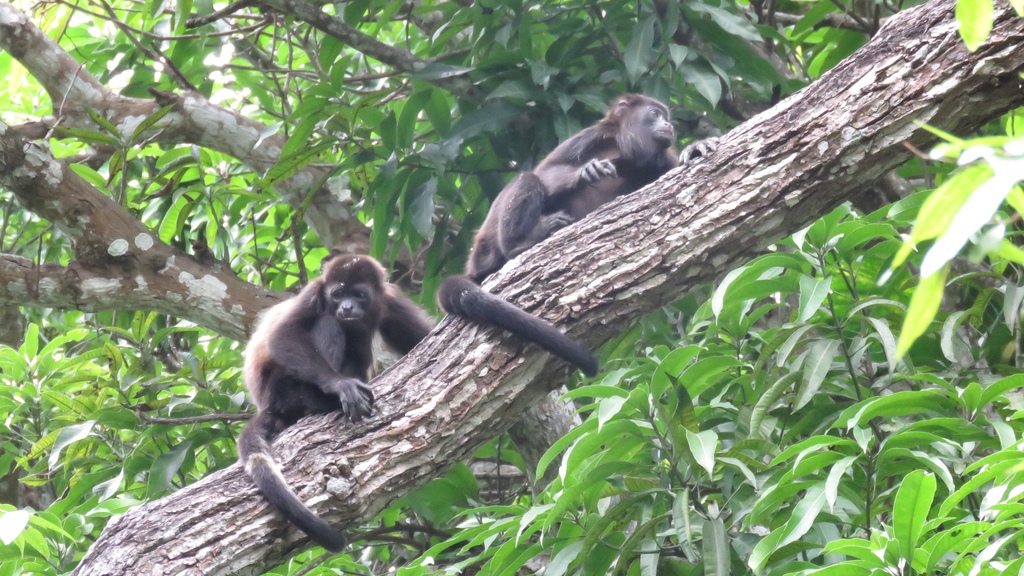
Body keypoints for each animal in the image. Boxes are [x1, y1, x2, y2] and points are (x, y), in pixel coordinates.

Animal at [238, 254, 434, 551]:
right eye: (338, 294)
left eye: (359, 294)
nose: (346, 306)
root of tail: (268, 405)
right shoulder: (314, 292)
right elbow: (283, 336)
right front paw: (339, 385)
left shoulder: (390, 300)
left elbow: (423, 335)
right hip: (281, 388)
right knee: (330, 324)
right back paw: (321, 401)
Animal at [438, 94, 718, 376]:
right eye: (654, 114)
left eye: (667, 117)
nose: (668, 125)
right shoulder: (590, 136)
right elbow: (547, 169)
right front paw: (584, 173)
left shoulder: (659, 161)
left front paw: (695, 148)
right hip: (487, 245)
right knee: (528, 179)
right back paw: (521, 243)